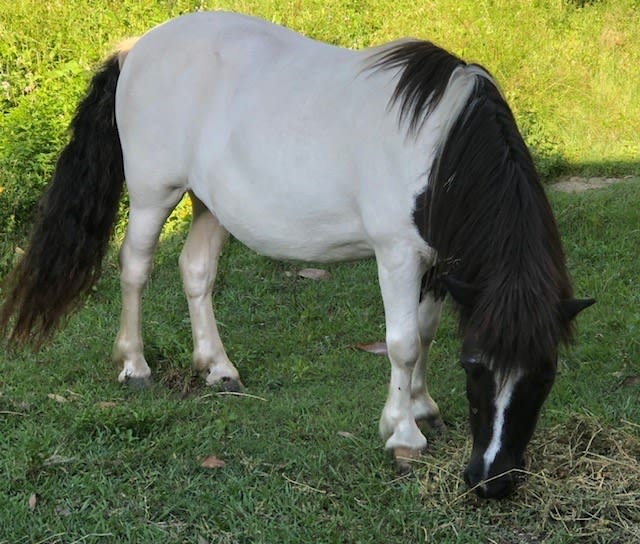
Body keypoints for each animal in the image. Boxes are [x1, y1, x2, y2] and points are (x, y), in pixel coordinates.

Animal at [0, 11, 593, 499]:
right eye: (476, 370)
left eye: (544, 376)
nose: (492, 481)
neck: (442, 147)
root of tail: (137, 48)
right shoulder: (397, 255)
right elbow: (402, 344)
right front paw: (402, 433)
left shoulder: (434, 264)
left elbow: (424, 334)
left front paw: (423, 407)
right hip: (153, 194)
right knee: (136, 267)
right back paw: (134, 366)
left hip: (209, 204)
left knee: (196, 270)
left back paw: (218, 368)